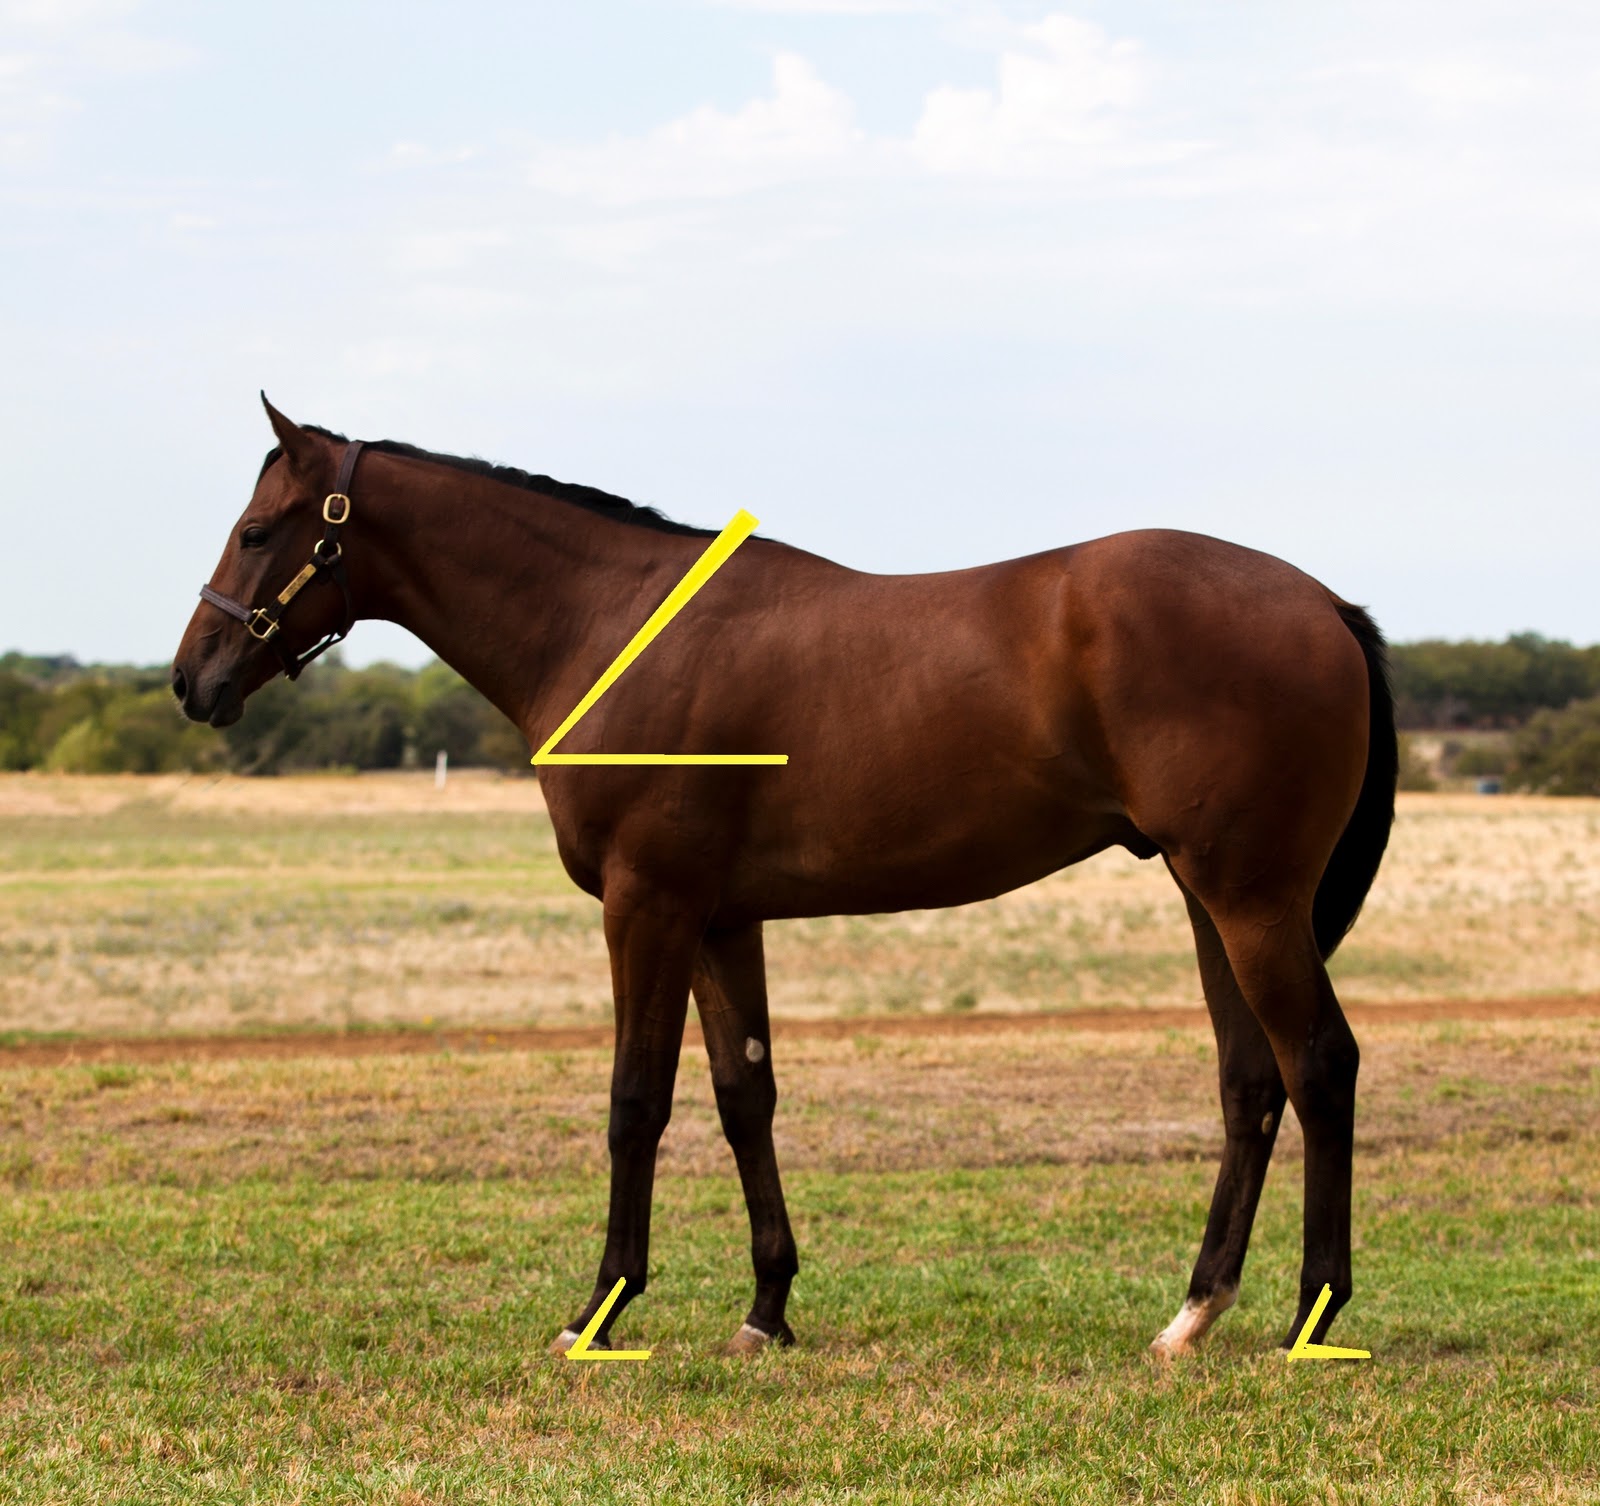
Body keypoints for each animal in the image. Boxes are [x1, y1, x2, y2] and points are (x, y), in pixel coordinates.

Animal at [172, 396, 1397, 1359]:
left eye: (257, 530)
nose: (193, 678)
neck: (616, 626)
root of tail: (1324, 604)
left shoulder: (648, 906)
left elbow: (635, 1100)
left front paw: (599, 1310)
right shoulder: (722, 919)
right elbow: (742, 1098)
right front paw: (767, 1309)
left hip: (1249, 900)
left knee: (1319, 1064)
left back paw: (1314, 1314)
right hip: (1210, 897)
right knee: (1250, 1082)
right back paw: (1192, 1315)